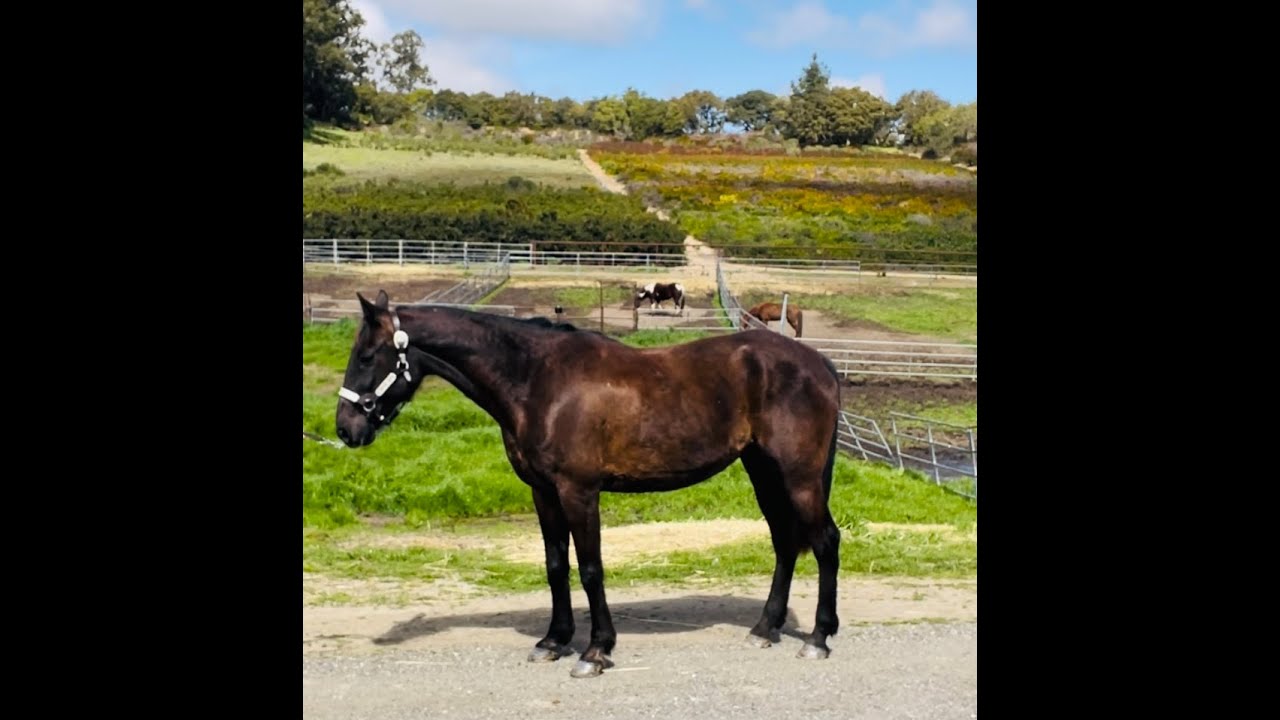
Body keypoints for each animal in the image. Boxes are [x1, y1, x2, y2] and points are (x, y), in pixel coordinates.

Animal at [335, 291, 843, 679]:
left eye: (366, 355)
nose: (345, 430)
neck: (539, 380)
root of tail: (819, 363)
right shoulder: (543, 492)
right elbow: (556, 565)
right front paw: (553, 640)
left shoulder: (579, 491)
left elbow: (591, 568)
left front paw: (596, 650)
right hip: (764, 472)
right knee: (785, 543)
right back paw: (765, 629)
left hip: (798, 477)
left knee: (825, 542)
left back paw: (818, 638)